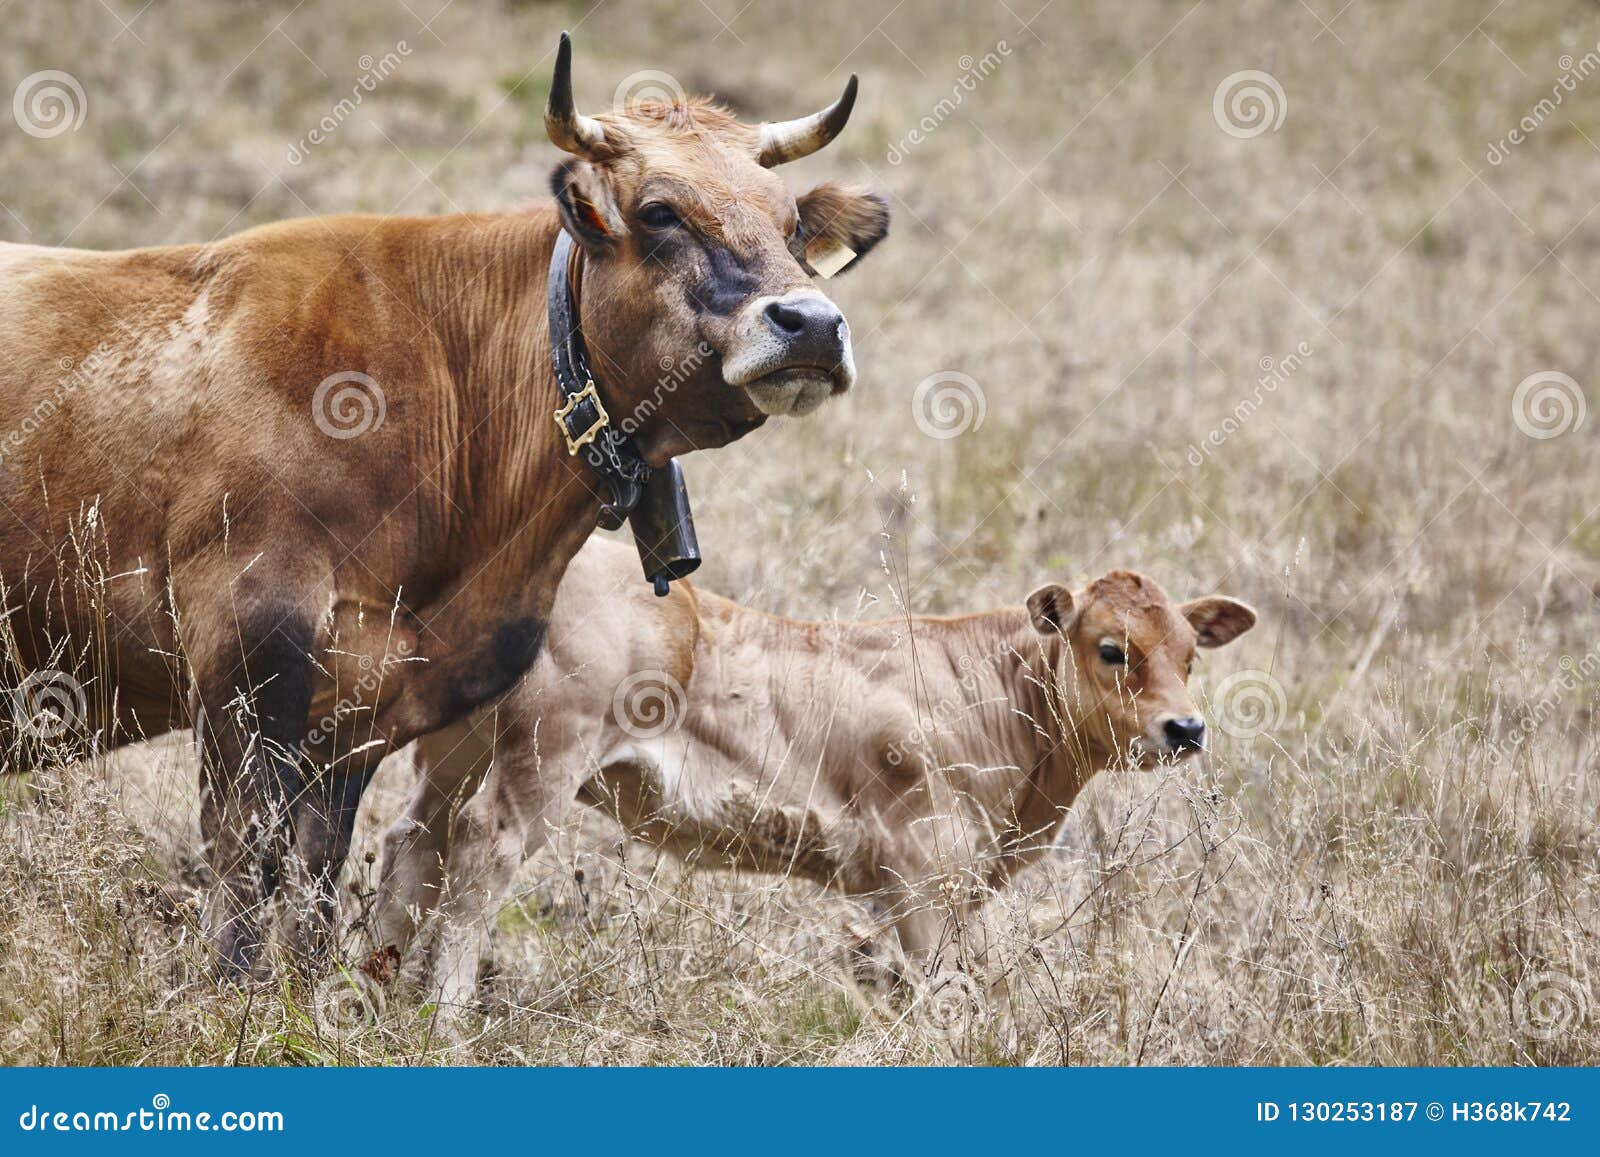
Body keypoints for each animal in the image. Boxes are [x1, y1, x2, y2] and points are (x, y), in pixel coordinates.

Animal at [0, 34, 890, 977]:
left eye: (792, 225)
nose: (813, 323)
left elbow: (313, 881)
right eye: (660, 213)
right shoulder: (248, 646)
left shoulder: (366, 708)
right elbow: (246, 863)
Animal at [370, 536, 1258, 1012]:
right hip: (546, 748)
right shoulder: (923, 862)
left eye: (1189, 655)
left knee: (414, 839)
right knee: (484, 845)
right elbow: (943, 983)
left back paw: (375, 988)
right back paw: (446, 1014)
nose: (1185, 728)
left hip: (456, 748)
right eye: (1111, 649)